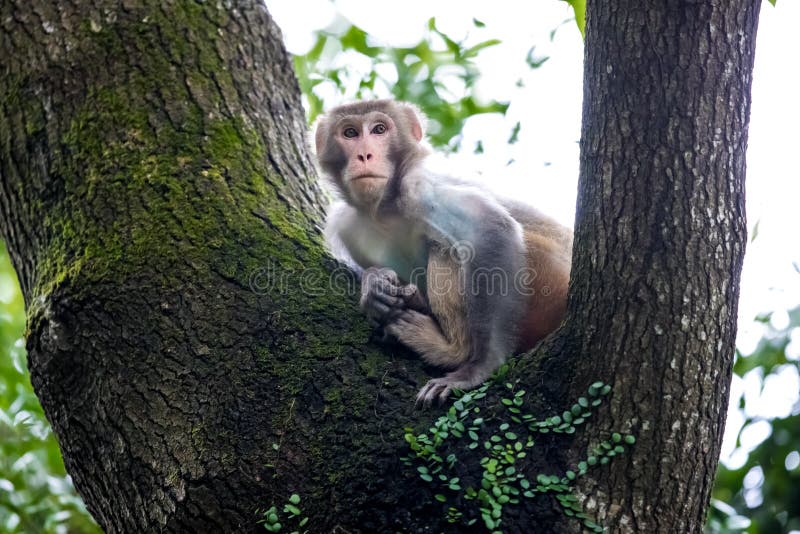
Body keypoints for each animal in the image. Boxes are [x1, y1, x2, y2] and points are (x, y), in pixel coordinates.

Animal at [315, 99, 573, 406]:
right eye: (350, 133)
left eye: (379, 129)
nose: (364, 155)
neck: (384, 210)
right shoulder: (348, 227)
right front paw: (374, 285)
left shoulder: (419, 186)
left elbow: (491, 230)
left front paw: (480, 367)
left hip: (548, 280)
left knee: (447, 245)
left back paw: (451, 350)